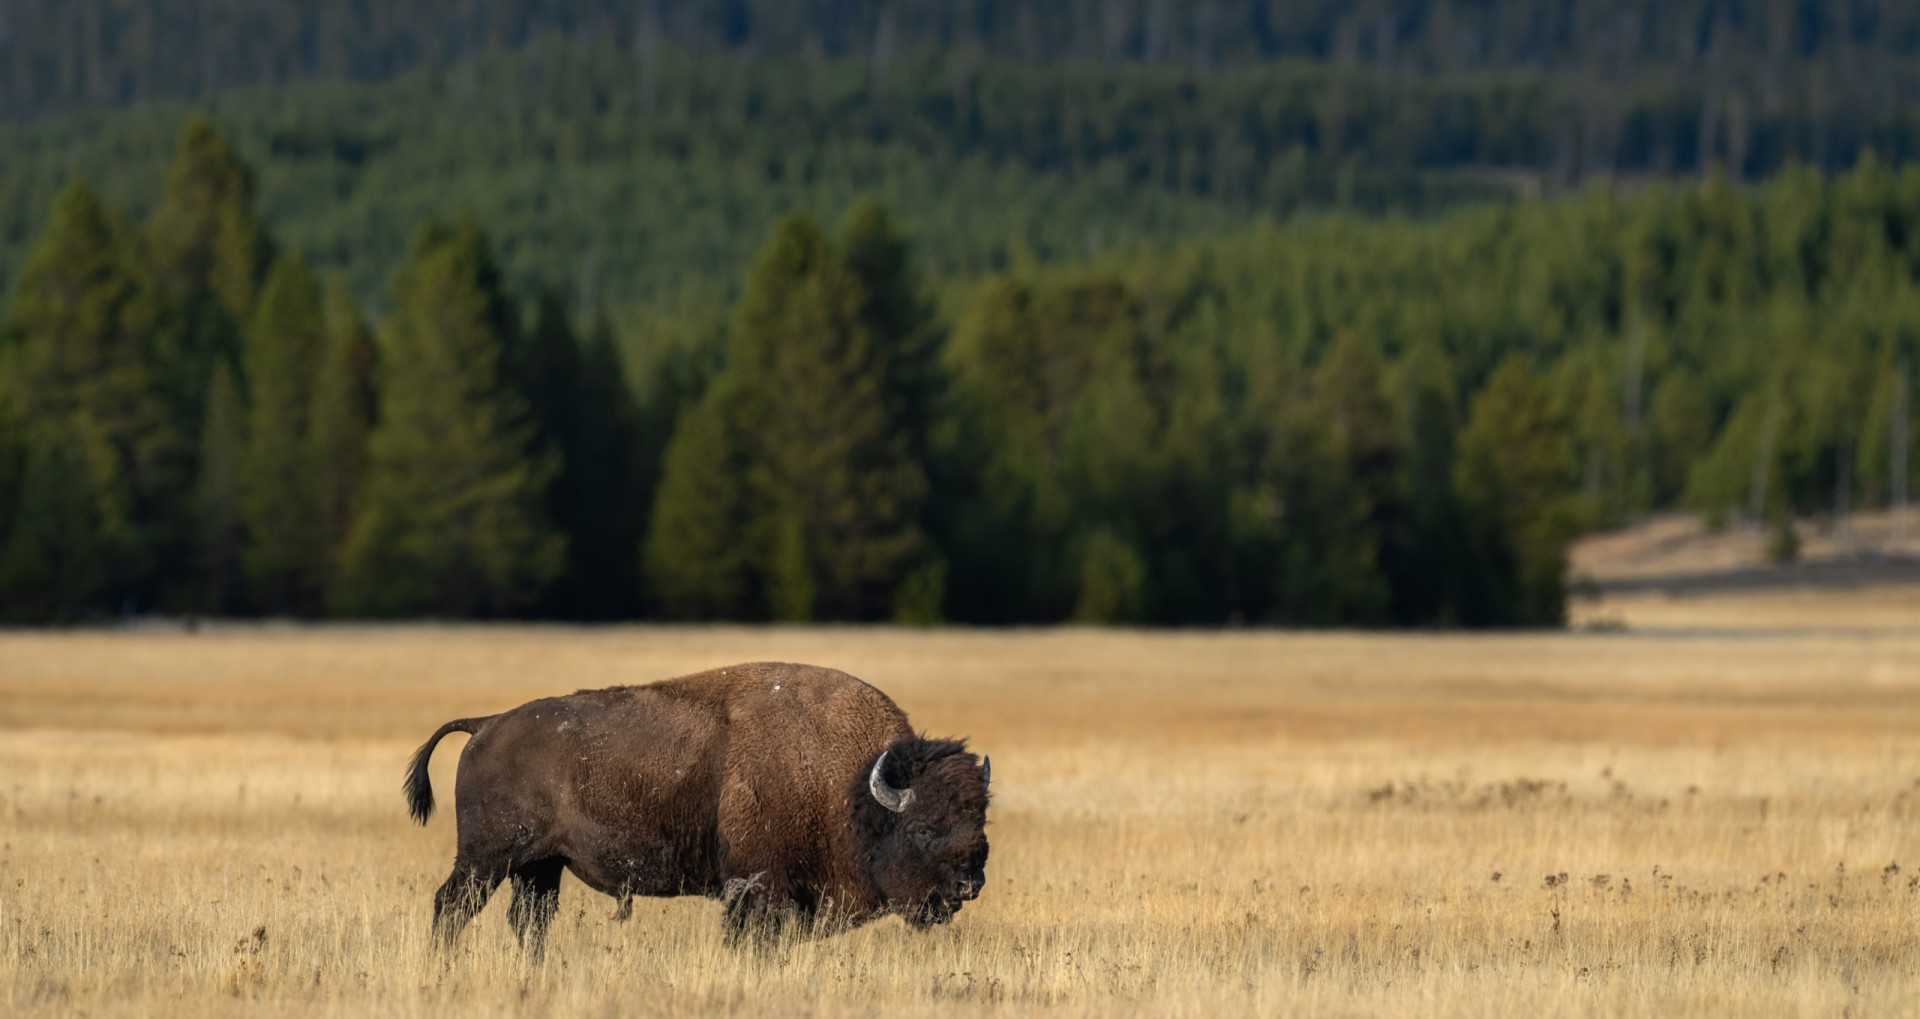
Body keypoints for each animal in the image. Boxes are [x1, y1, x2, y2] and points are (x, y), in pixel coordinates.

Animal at [403, 661, 991, 953]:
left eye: (980, 823)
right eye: (923, 829)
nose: (969, 884)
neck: (850, 790)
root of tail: (486, 724)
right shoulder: (757, 888)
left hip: (539, 866)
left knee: (528, 920)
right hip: (486, 860)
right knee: (451, 906)